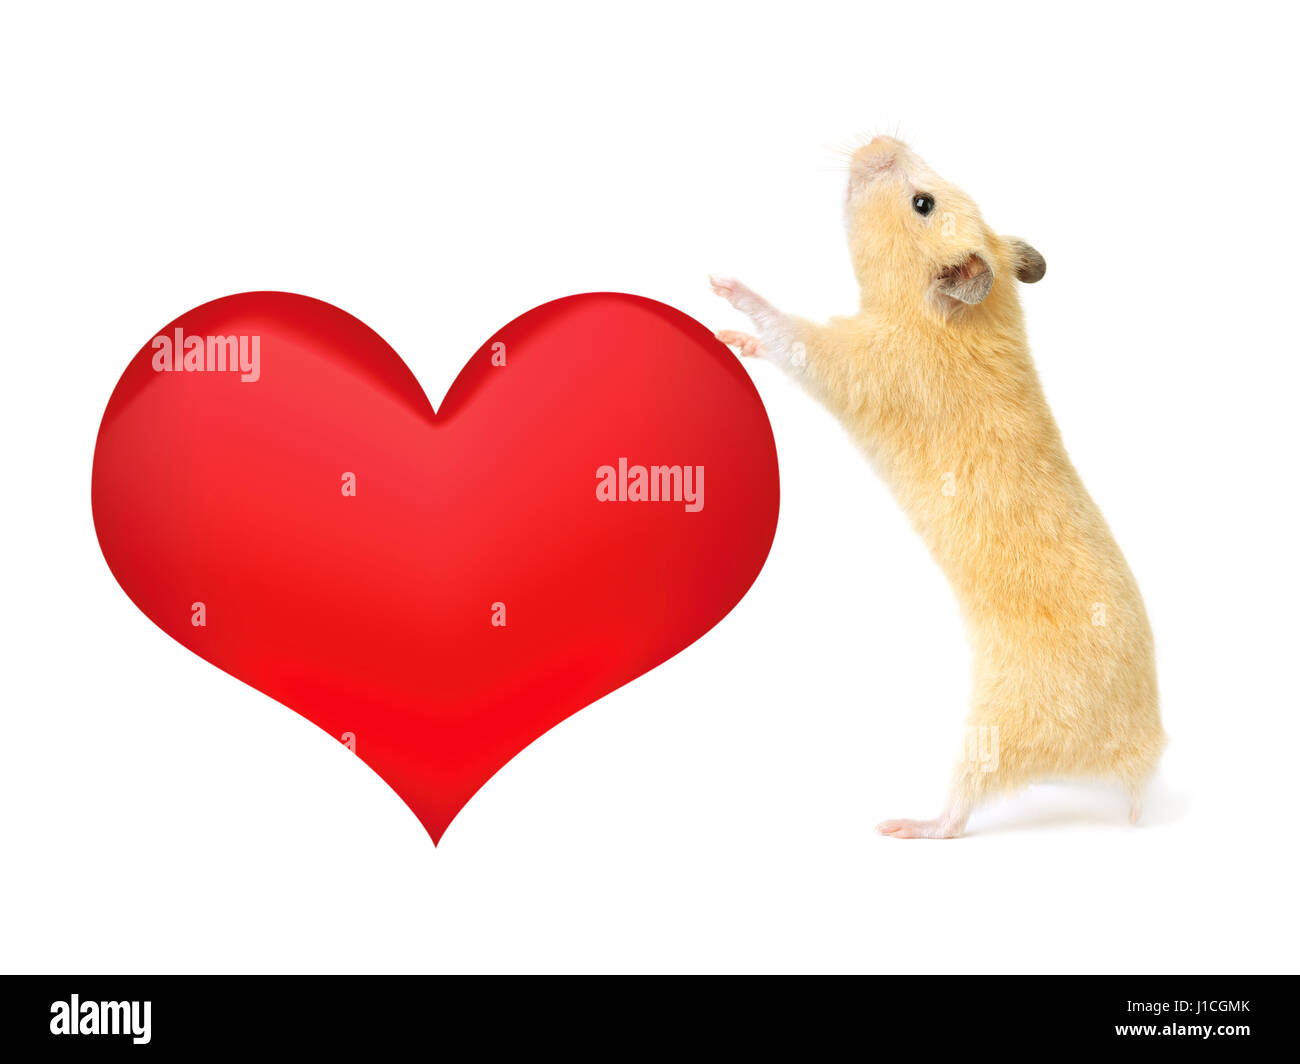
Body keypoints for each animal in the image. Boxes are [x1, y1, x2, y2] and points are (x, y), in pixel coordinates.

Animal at [711, 135, 1165, 838]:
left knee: (961, 808)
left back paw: (905, 825)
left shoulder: (859, 362)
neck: (961, 318)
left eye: (922, 203)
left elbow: (793, 336)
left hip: (1000, 725)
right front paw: (732, 335)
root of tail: (1130, 751)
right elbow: (772, 342)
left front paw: (724, 285)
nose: (877, 139)